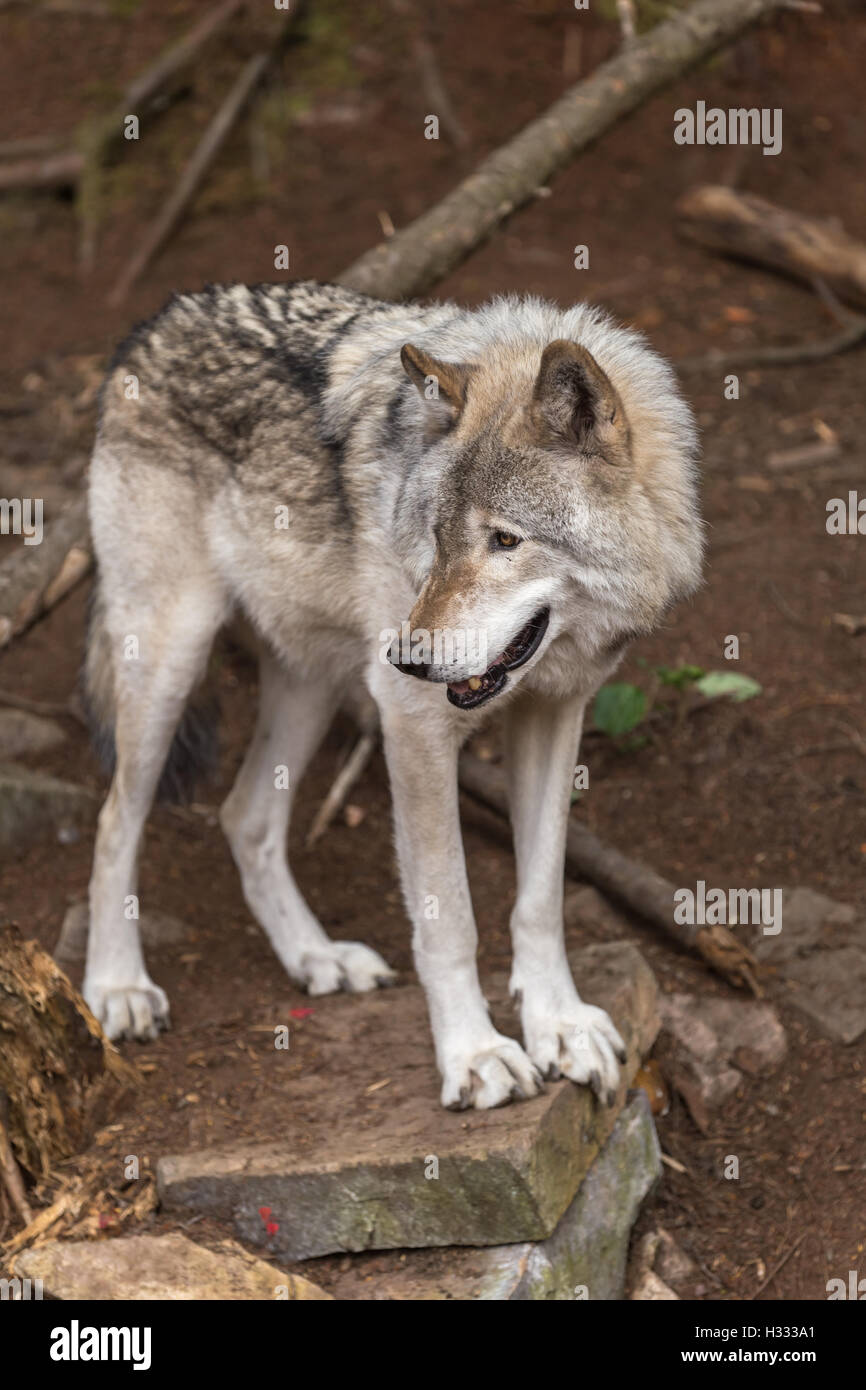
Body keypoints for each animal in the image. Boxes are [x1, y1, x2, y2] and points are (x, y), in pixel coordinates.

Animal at [82, 280, 702, 1110]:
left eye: (506, 540)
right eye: (436, 538)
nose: (407, 657)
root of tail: (153, 322)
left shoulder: (554, 712)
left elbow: (538, 898)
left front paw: (560, 1026)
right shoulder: (413, 727)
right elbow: (450, 921)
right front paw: (476, 1054)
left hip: (313, 681)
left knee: (244, 816)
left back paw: (317, 958)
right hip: (171, 658)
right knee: (116, 821)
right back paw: (116, 987)